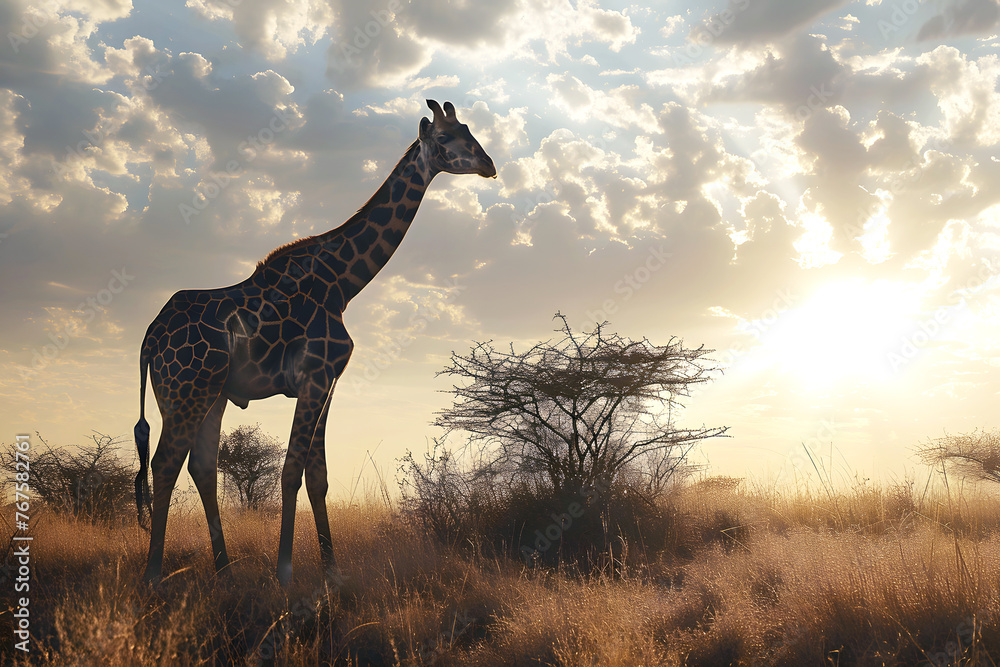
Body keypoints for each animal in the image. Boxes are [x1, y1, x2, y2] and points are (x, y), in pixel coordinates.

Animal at [134, 100, 496, 585]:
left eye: (469, 130)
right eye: (444, 139)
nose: (489, 164)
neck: (344, 283)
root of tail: (150, 337)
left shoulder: (328, 382)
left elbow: (317, 475)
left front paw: (332, 570)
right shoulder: (314, 376)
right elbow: (291, 471)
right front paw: (286, 570)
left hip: (208, 394)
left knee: (201, 467)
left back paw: (225, 570)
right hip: (187, 389)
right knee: (165, 463)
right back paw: (155, 573)